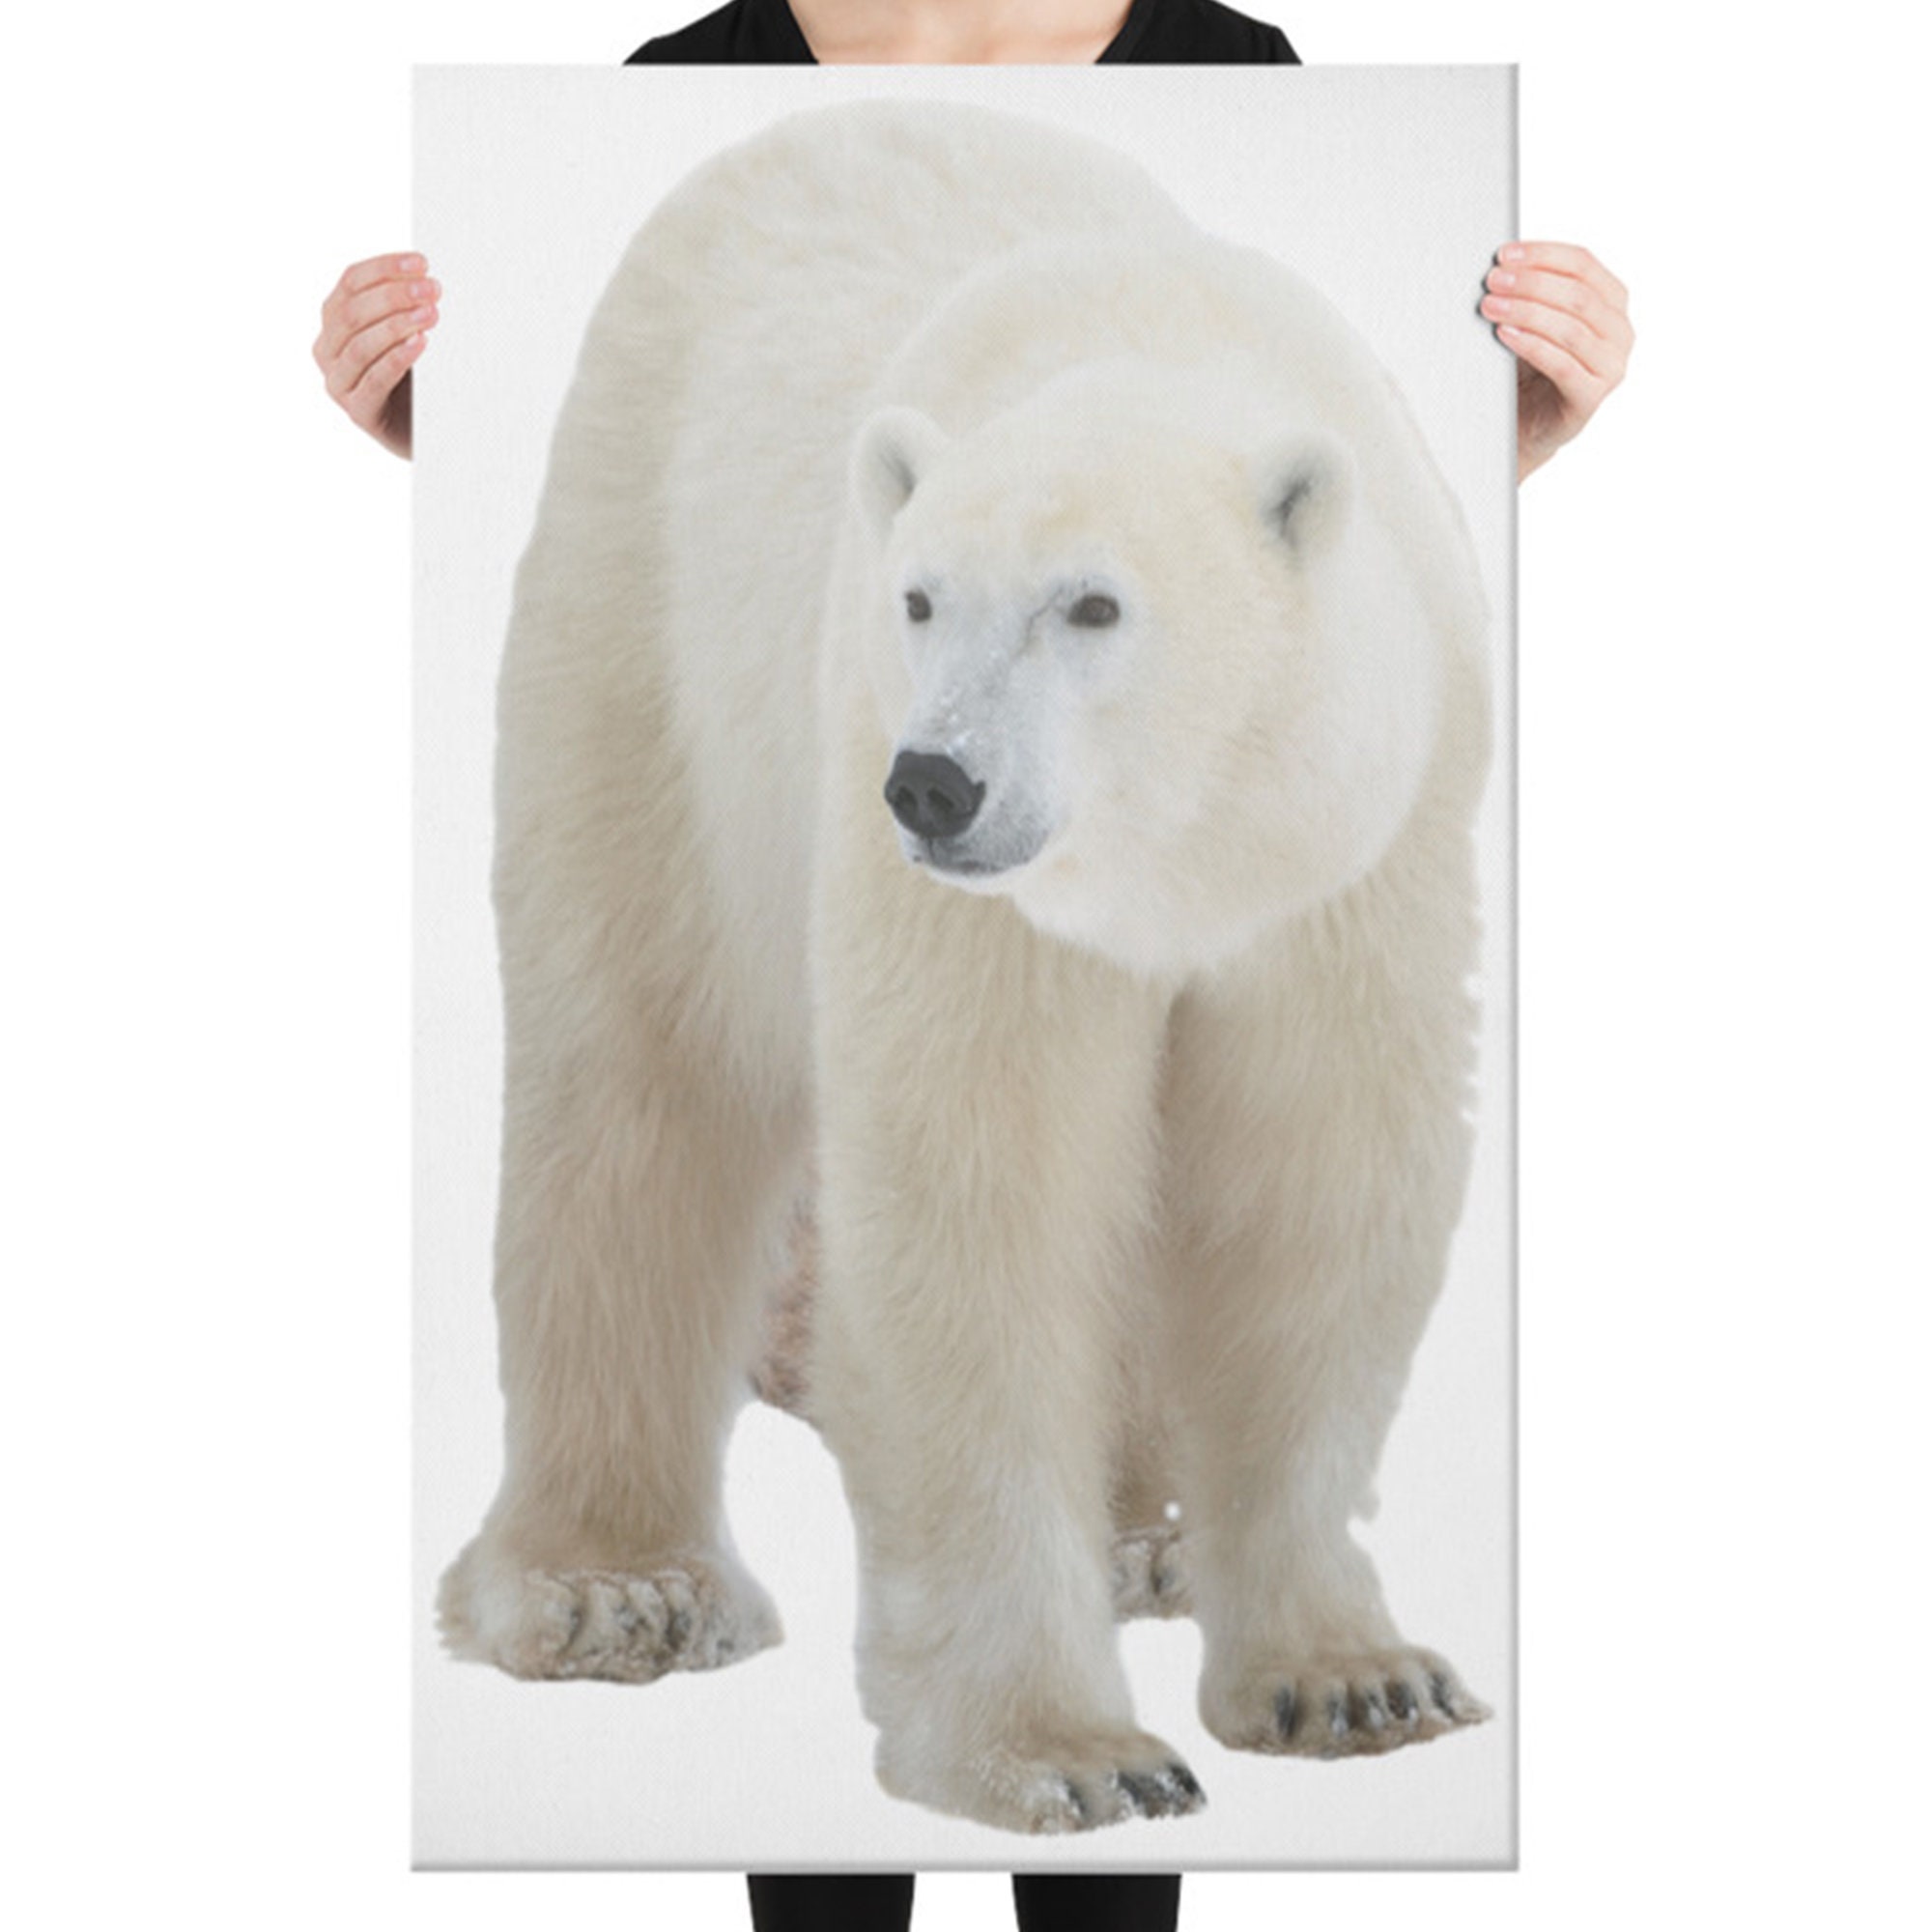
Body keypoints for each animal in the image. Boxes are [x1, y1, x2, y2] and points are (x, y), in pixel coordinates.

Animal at [437, 99, 1494, 1836]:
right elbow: (983, 1203)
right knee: (640, 1078)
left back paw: (1145, 1534)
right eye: (920, 597)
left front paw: (1352, 1681)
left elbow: (1311, 1197)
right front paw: (1072, 1755)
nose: (934, 783)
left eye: (1094, 604)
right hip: (645, 617)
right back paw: (616, 1588)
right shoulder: (959, 896)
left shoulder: (1354, 858)